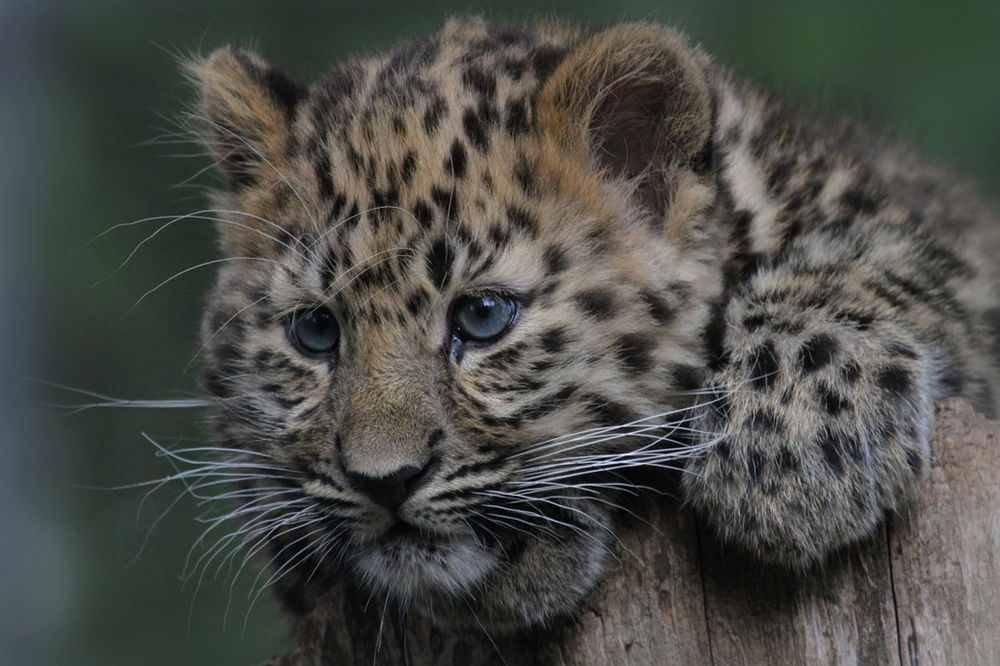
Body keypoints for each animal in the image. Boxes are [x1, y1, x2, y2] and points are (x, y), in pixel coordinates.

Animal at [186, 15, 1000, 632]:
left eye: (483, 317)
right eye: (315, 333)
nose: (384, 481)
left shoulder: (950, 266)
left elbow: (883, 262)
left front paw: (794, 466)